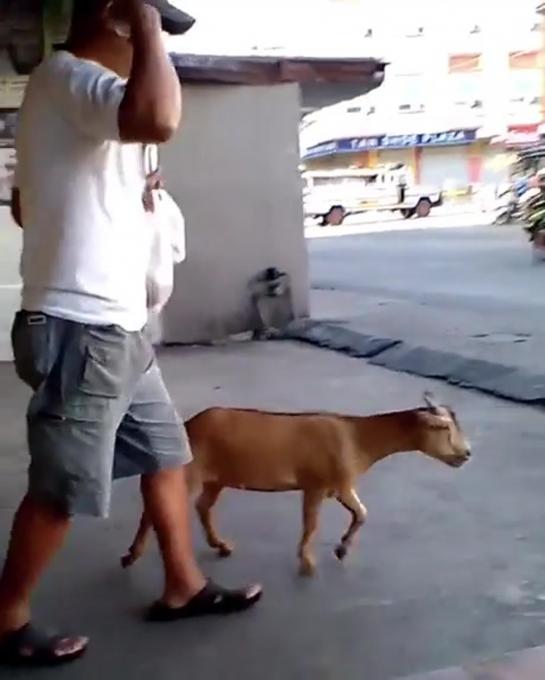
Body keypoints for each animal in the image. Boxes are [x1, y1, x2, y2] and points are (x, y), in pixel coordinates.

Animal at [121, 394, 470, 572]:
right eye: (442, 428)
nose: (466, 454)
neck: (356, 437)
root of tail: (189, 426)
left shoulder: (340, 484)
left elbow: (361, 513)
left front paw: (342, 549)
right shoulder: (315, 484)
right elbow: (311, 523)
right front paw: (307, 560)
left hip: (215, 478)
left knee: (203, 506)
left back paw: (221, 546)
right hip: (192, 471)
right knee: (154, 509)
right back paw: (131, 555)